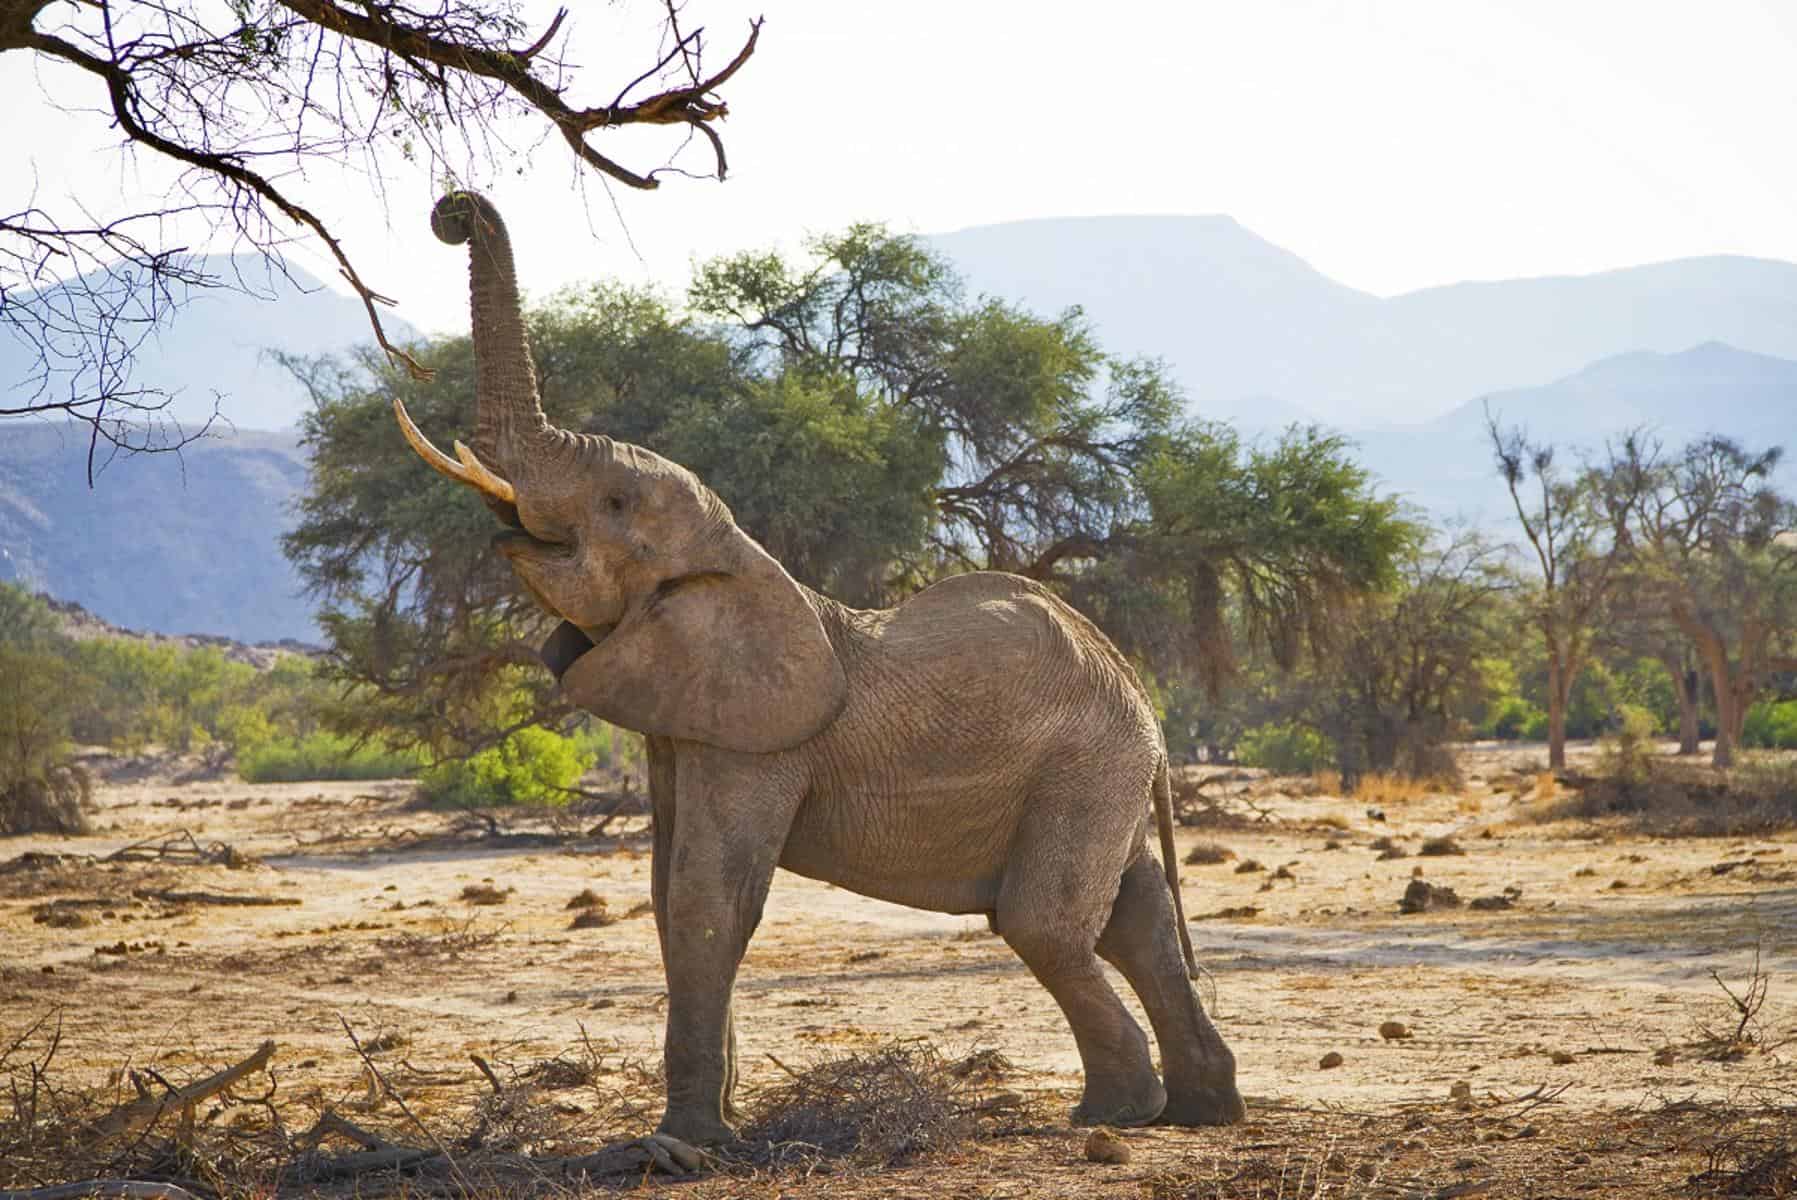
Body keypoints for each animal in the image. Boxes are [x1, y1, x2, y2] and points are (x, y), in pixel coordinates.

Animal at [394, 190, 1247, 1148]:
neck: (740, 558)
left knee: (1046, 925)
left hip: (1086, 766)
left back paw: (1118, 1112)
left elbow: (709, 898)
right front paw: (712, 1129)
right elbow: (668, 894)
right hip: (1106, 770)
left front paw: (682, 1148)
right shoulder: (685, 719)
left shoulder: (761, 743)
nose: (453, 212)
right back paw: (1200, 1111)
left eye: (614, 504)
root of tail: (1136, 688)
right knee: (1136, 920)